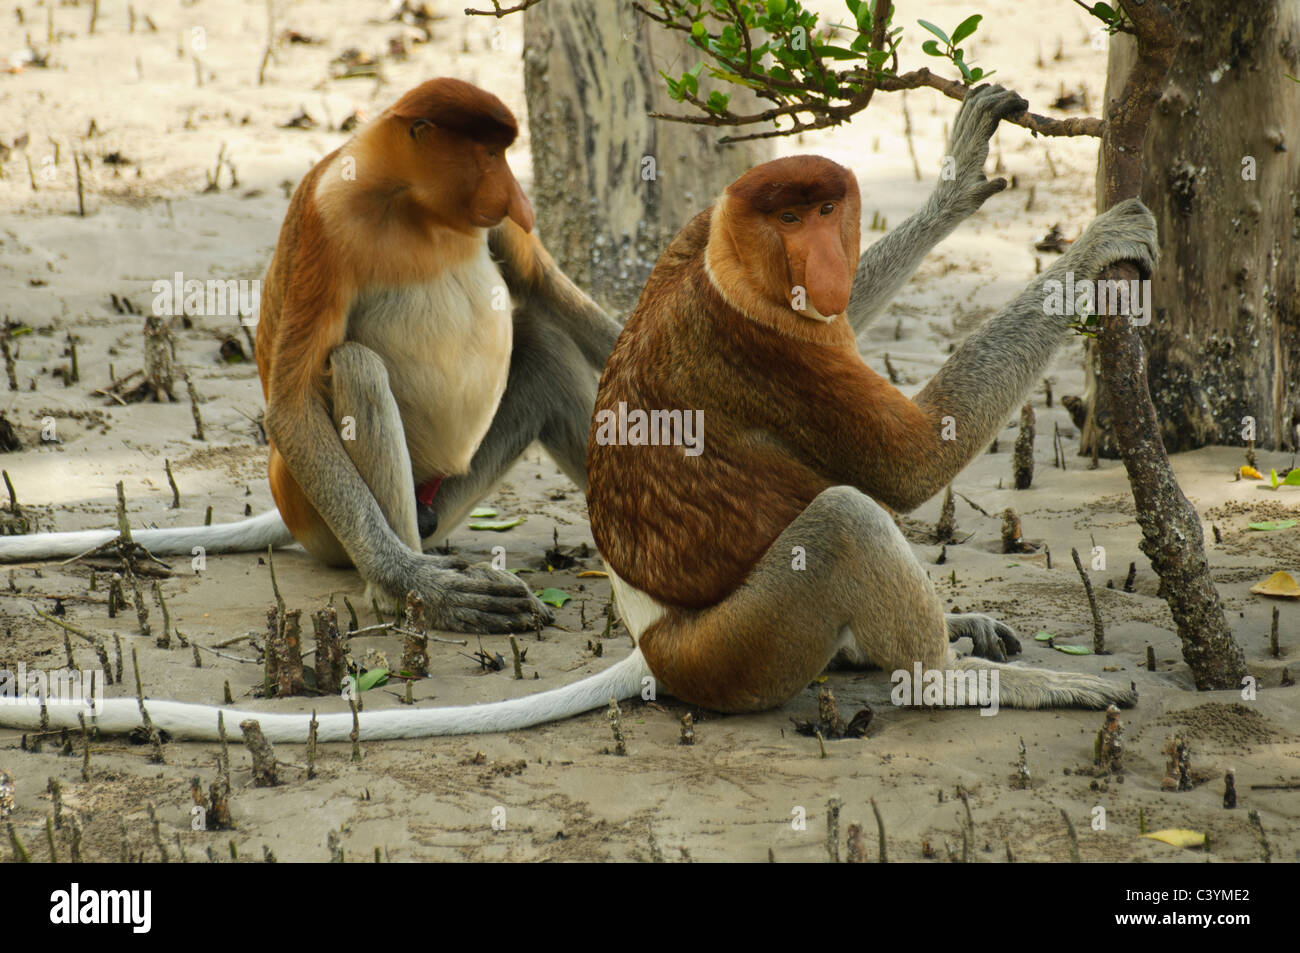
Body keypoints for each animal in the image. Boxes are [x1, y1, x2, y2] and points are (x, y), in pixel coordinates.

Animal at [0, 85, 1151, 741]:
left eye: (832, 209)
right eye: (794, 215)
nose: (822, 255)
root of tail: (656, 649)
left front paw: (958, 176)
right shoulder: (771, 350)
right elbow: (912, 460)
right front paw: (1099, 245)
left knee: (556, 353)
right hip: (735, 649)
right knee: (842, 520)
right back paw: (949, 675)